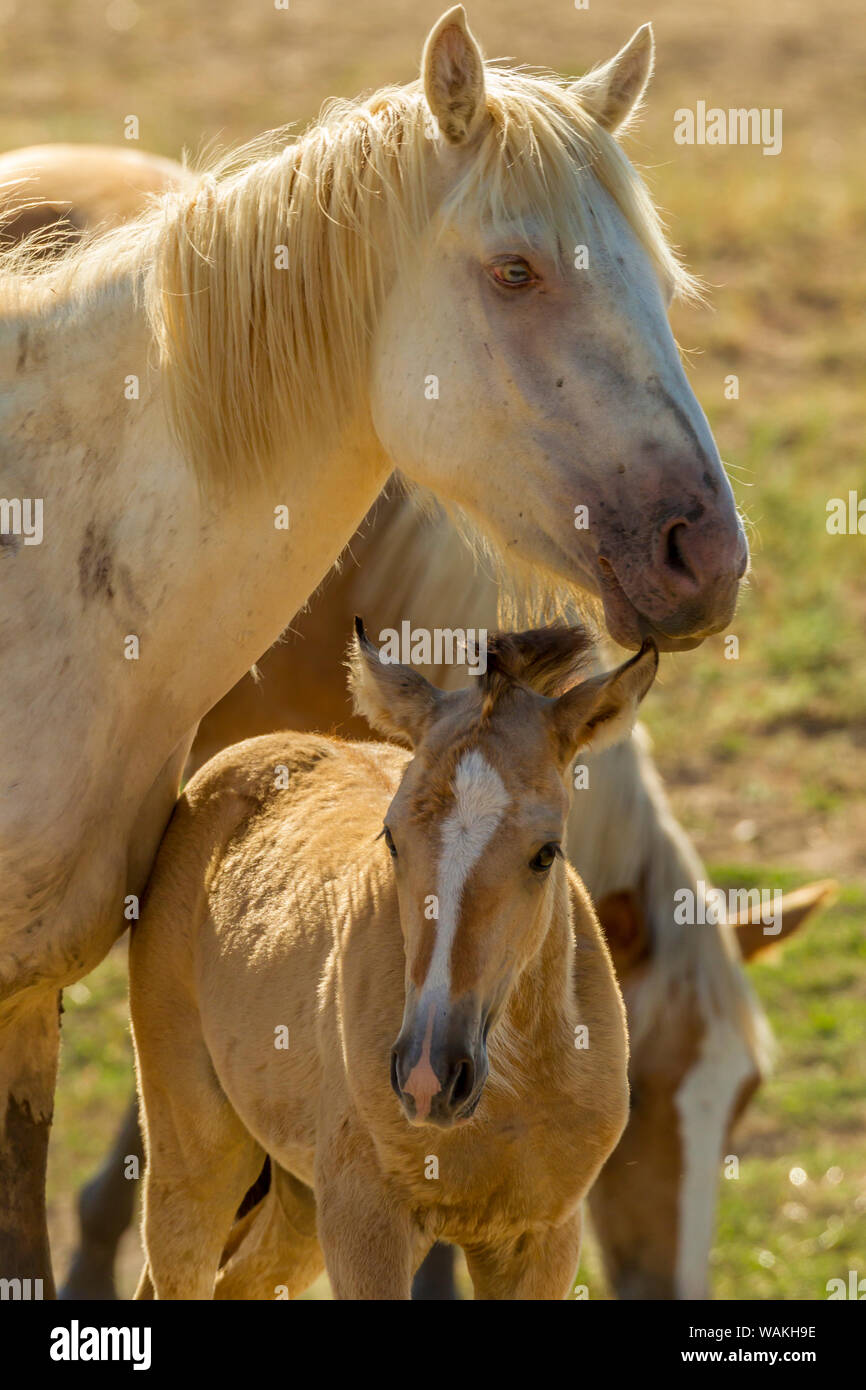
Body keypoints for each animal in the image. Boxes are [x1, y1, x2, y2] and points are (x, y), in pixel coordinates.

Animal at [128, 623, 658, 1299]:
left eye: (546, 853)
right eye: (392, 839)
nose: (429, 1075)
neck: (511, 1091)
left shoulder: (542, 1239)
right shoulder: (365, 1226)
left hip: (299, 1200)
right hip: (197, 1160)